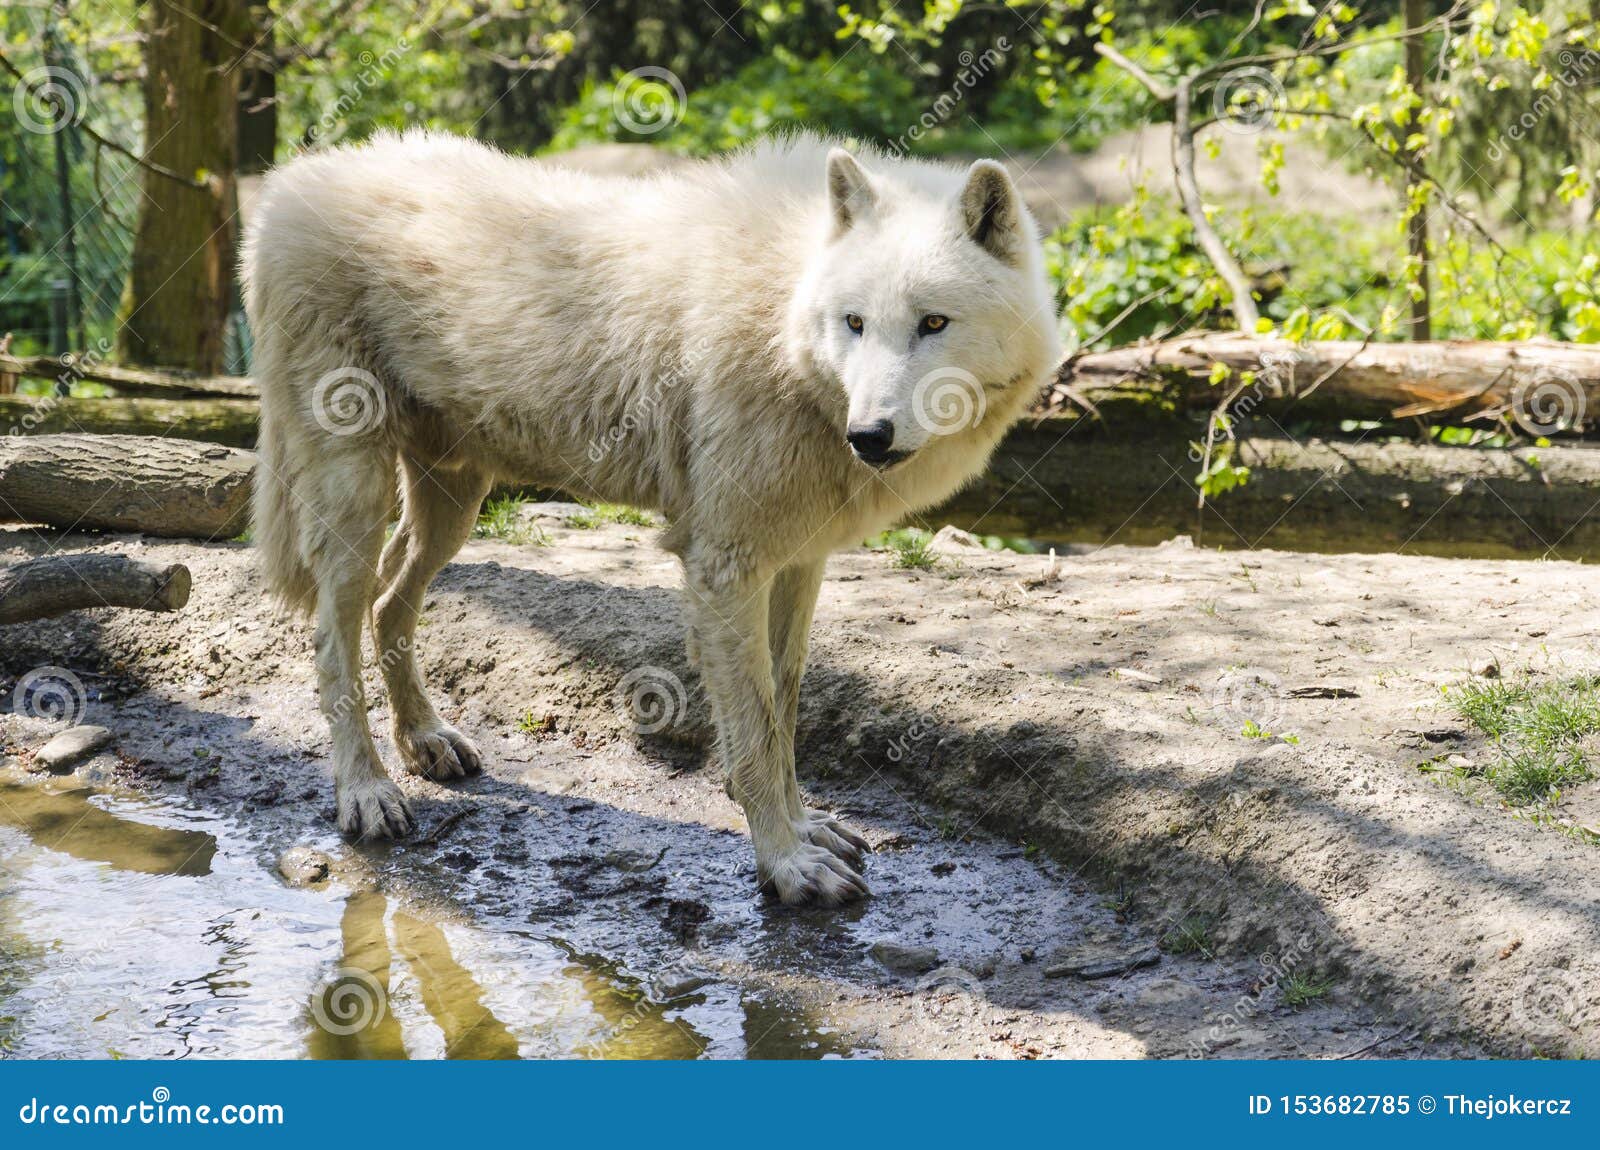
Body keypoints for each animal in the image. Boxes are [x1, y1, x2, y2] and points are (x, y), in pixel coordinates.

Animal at [242, 130, 1061, 906]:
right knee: (331, 634)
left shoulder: (798, 559)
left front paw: (804, 828)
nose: (870, 436)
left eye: (933, 322)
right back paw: (366, 790)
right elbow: (755, 730)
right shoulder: (725, 566)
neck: (782, 316)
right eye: (855, 322)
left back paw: (426, 741)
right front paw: (786, 864)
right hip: (357, 492)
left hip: (454, 503)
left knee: (389, 603)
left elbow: (784, 708)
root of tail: (288, 186)